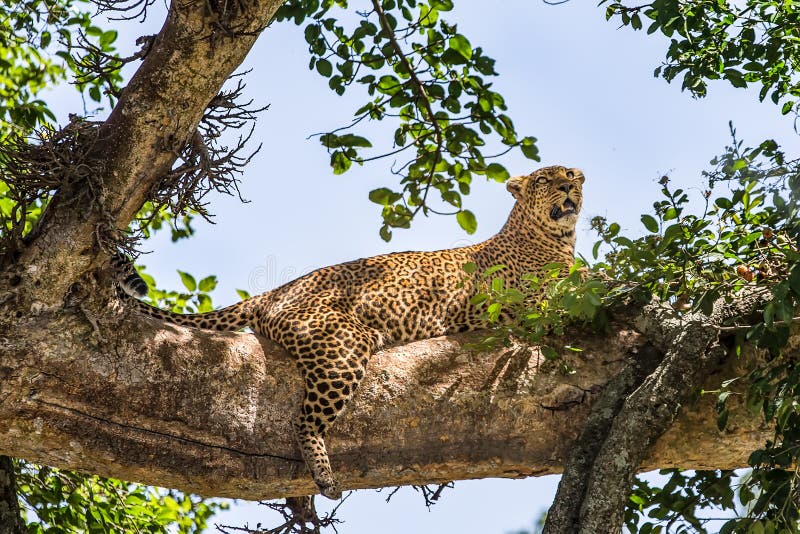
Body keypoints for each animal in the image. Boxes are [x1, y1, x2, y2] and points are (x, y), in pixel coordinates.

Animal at [117, 165, 584, 500]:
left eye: (572, 175)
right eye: (545, 179)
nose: (570, 186)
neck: (557, 239)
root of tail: (278, 289)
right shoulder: (523, 302)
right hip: (342, 346)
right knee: (304, 421)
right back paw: (324, 477)